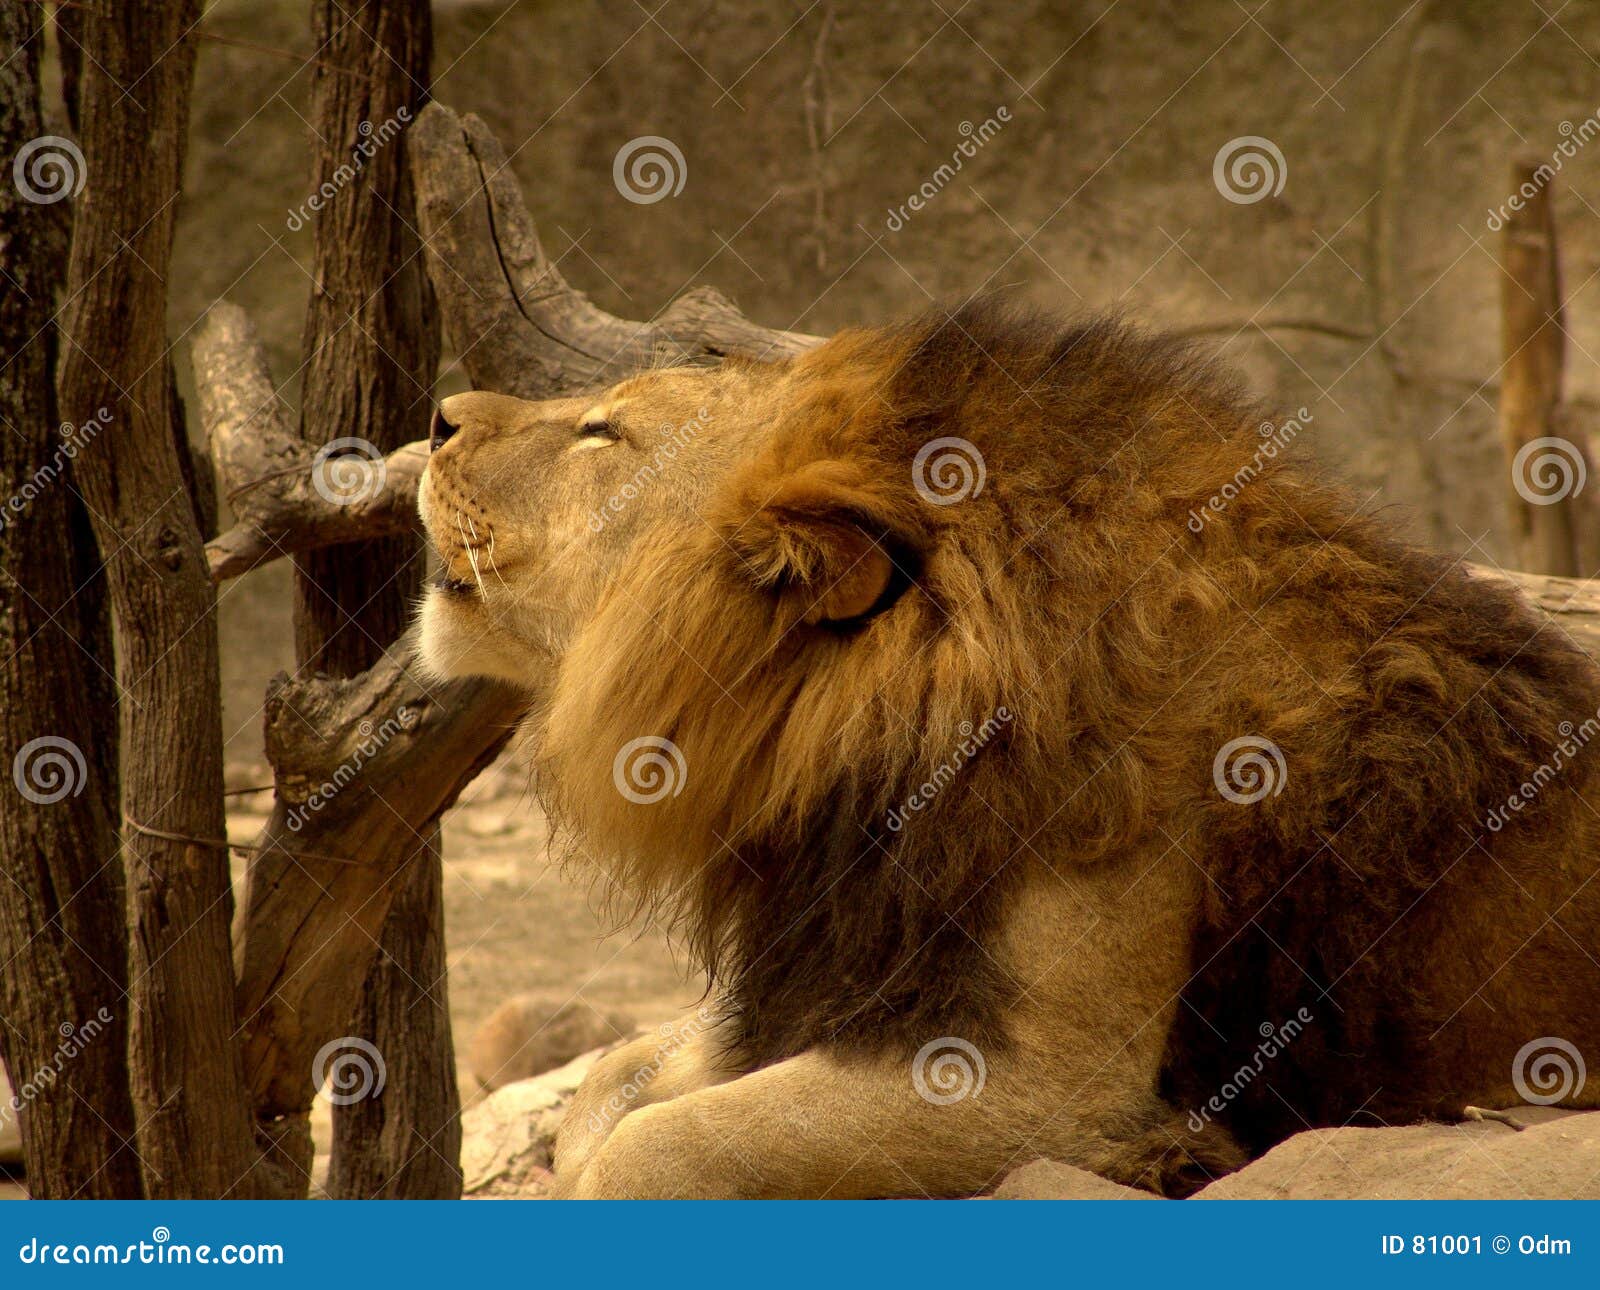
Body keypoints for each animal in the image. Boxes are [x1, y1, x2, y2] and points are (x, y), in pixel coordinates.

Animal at [416, 300, 1600, 1198]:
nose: (433, 417)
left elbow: (650, 1146)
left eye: (603, 434)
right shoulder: (827, 967)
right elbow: (605, 1090)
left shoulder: (1051, 1088)